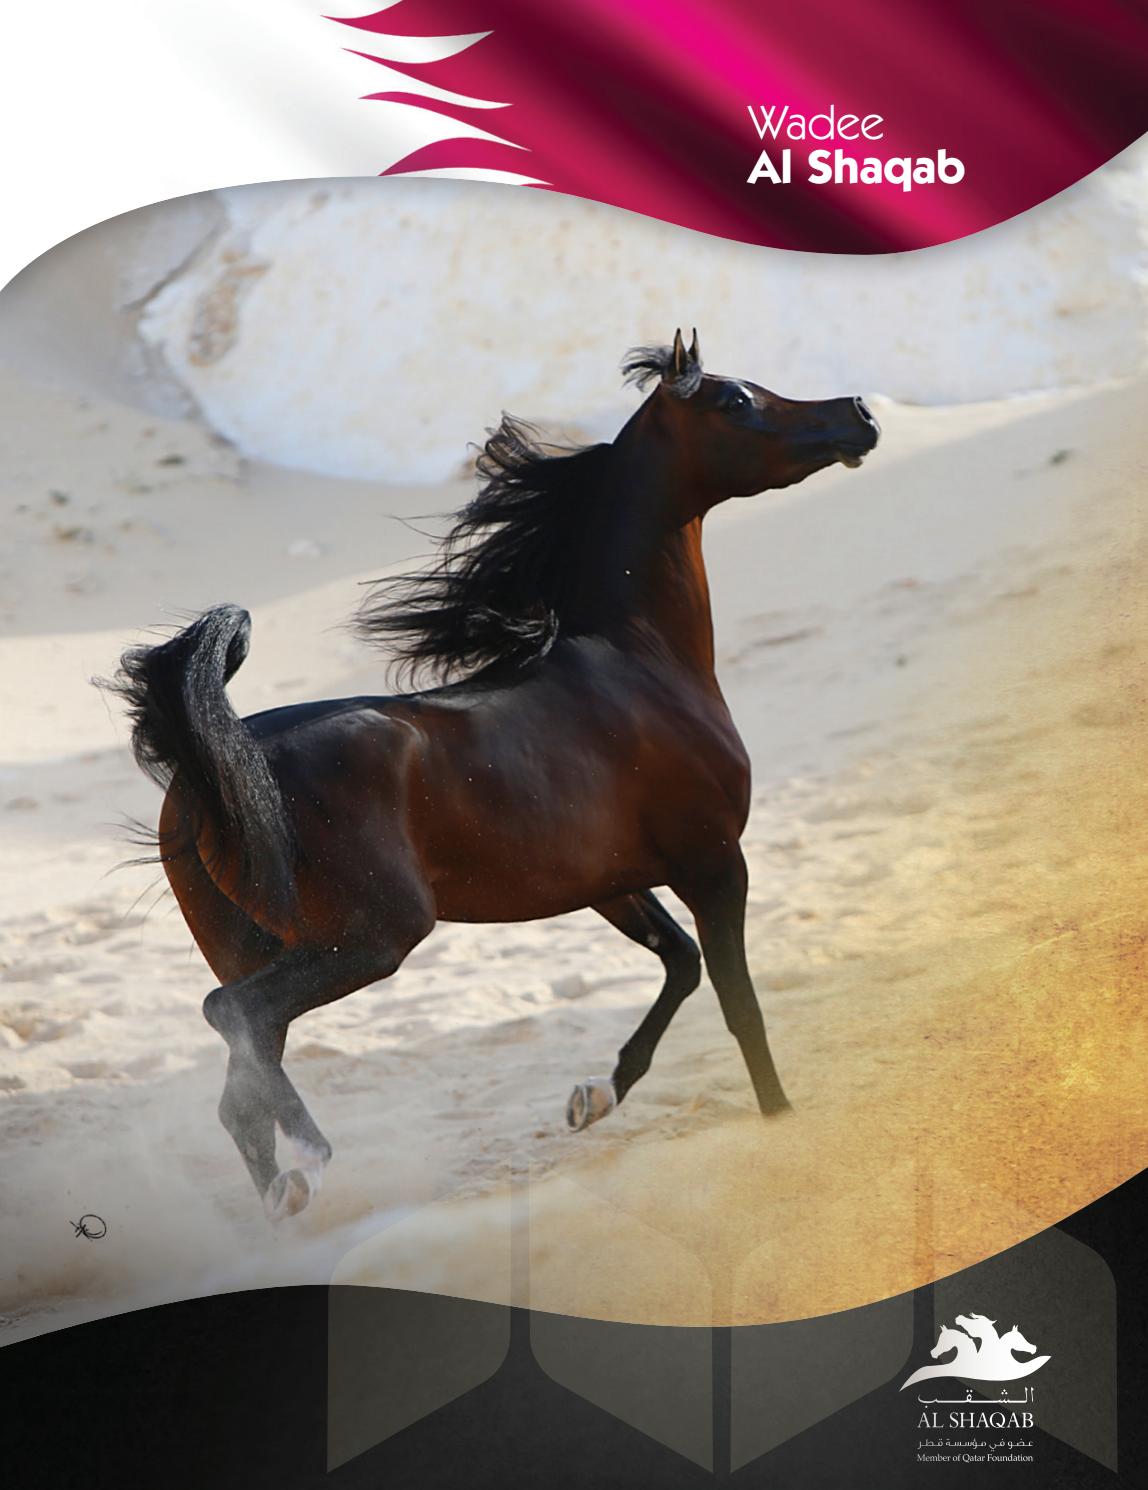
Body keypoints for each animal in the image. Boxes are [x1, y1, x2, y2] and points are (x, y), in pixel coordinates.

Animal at [105, 329, 880, 1220]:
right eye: (736, 400)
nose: (859, 413)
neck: (641, 664)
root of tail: (207, 770)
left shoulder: (611, 882)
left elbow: (681, 963)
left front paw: (593, 1095)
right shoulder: (716, 863)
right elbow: (739, 1002)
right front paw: (781, 1121)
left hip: (260, 945)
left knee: (243, 1071)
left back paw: (285, 1197)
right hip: (370, 937)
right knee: (236, 1020)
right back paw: (312, 1159)